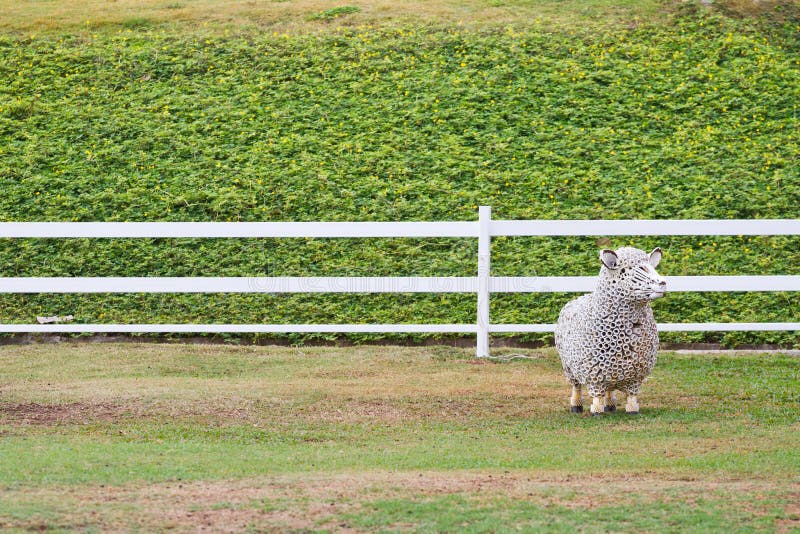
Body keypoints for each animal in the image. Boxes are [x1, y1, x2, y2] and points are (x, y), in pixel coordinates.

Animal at [554, 246, 666, 416]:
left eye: (651, 266)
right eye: (638, 268)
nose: (663, 283)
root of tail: (577, 298)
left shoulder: (635, 375)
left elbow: (632, 395)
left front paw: (632, 409)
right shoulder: (594, 374)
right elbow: (596, 395)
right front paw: (596, 411)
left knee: (609, 388)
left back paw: (610, 405)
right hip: (569, 367)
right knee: (576, 387)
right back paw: (576, 406)